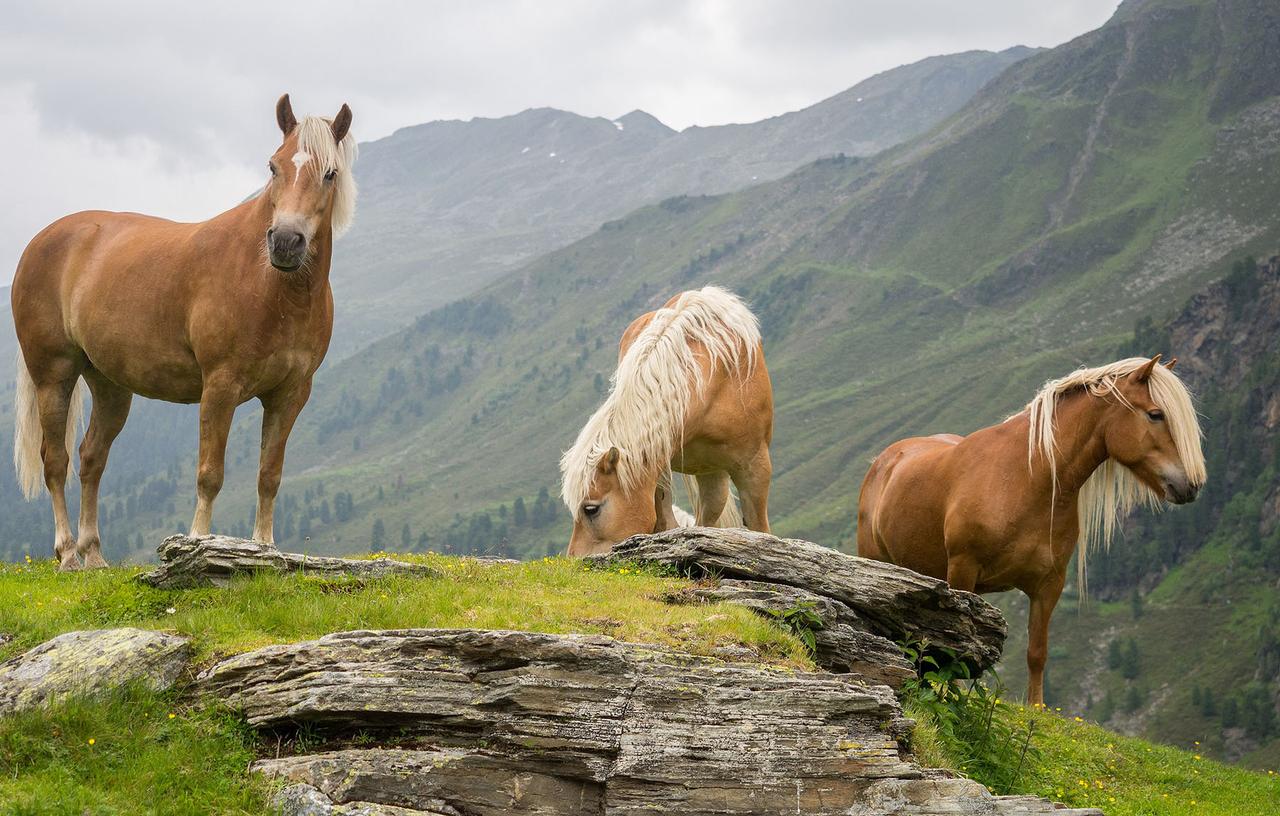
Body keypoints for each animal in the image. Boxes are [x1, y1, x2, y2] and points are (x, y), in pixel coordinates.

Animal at [11, 94, 356, 571]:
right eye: (273, 166)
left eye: (330, 173)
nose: (286, 242)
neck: (269, 285)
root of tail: (40, 241)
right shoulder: (221, 387)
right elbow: (209, 474)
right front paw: (198, 546)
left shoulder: (290, 395)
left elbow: (269, 475)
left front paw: (266, 551)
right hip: (54, 375)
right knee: (55, 461)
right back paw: (66, 555)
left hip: (110, 385)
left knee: (91, 458)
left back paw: (94, 554)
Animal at [560, 286, 773, 557]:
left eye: (591, 509)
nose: (575, 561)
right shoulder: (658, 459)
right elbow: (665, 523)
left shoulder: (755, 466)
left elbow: (760, 527)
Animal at [856, 355, 1205, 705]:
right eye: (1156, 414)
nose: (1190, 485)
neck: (1026, 479)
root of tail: (884, 460)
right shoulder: (963, 570)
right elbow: (960, 644)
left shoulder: (1049, 585)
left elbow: (1037, 652)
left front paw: (1037, 707)